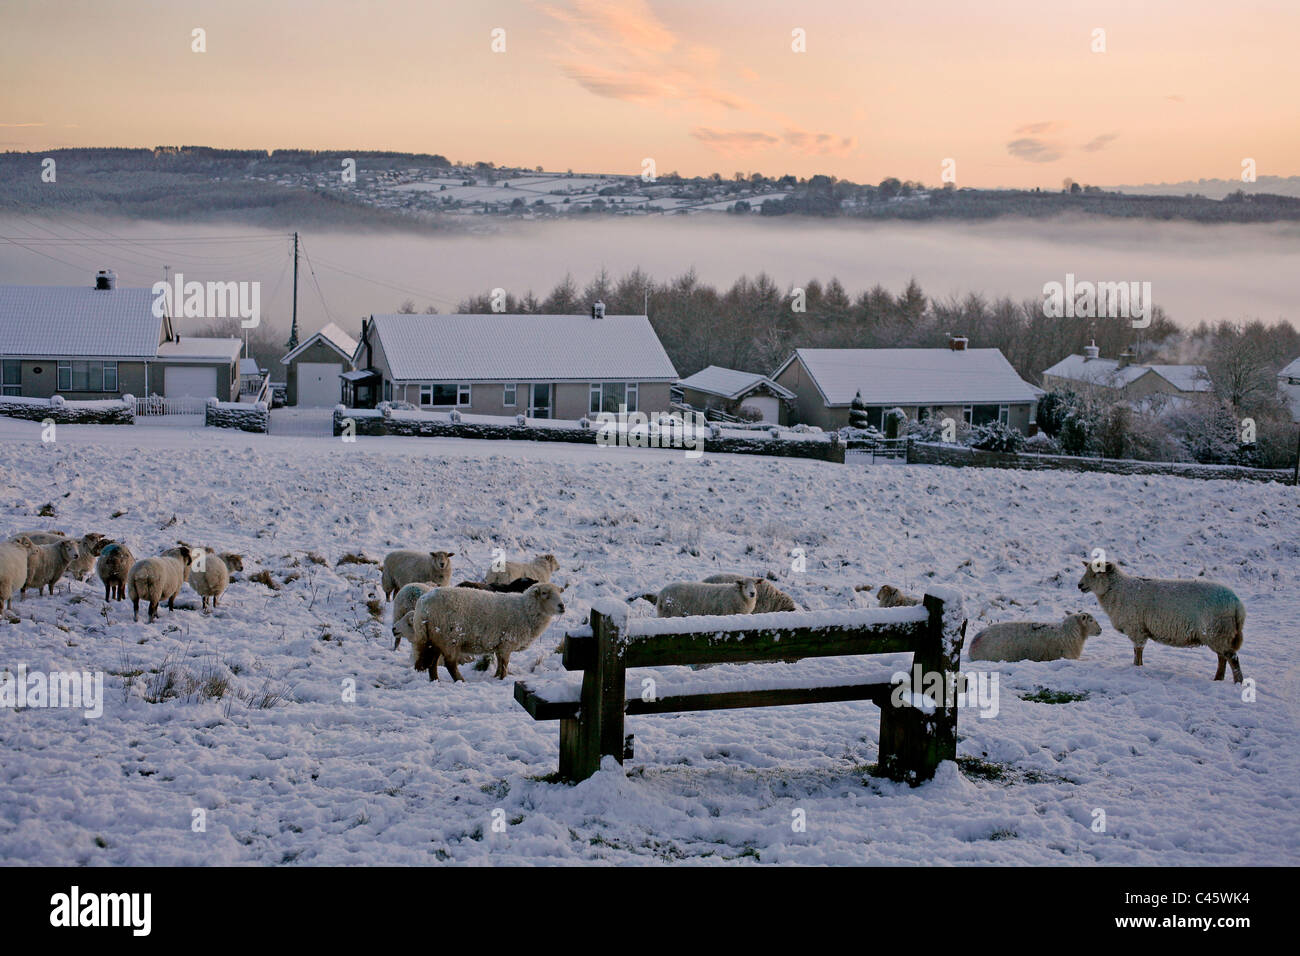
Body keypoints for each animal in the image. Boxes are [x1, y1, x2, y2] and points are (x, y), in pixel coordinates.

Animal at [409, 582, 566, 681]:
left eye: (560, 592)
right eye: (544, 593)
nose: (562, 606)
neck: (525, 610)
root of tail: (422, 606)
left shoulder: (500, 644)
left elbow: (499, 662)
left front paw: (496, 677)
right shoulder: (507, 642)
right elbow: (505, 663)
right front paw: (503, 679)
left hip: (434, 638)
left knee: (432, 662)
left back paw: (435, 680)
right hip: (449, 637)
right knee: (450, 663)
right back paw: (460, 680)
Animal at [1078, 560, 1246, 682]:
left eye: (1097, 574)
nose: (1079, 585)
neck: (1118, 590)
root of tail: (1237, 604)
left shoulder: (1137, 629)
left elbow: (1138, 651)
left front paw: (1137, 668)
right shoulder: (1139, 629)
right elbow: (1136, 651)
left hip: (1217, 632)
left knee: (1232, 658)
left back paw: (1237, 682)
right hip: (1219, 634)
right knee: (1222, 658)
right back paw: (1218, 679)